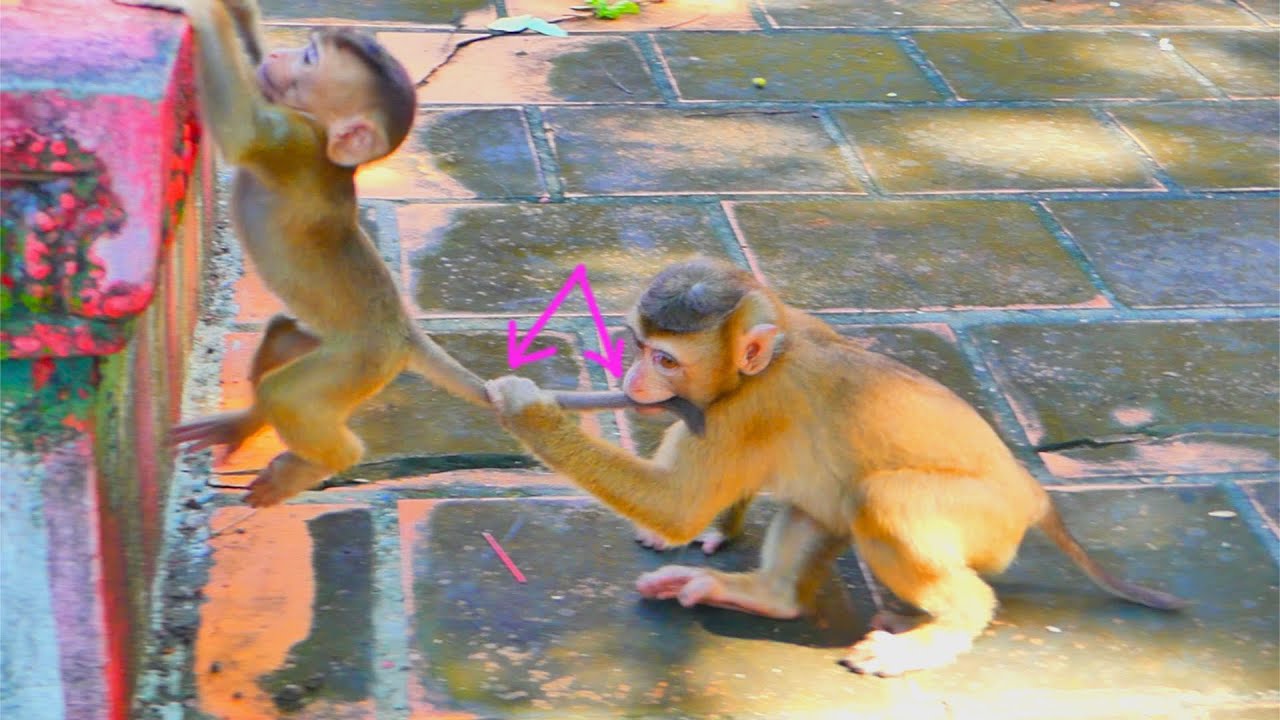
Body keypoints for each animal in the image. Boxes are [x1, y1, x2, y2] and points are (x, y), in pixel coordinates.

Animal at [118, 0, 700, 506]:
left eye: (310, 61)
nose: (283, 56)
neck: (322, 137)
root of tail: (401, 330)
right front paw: (239, 13)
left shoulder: (294, 144)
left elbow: (243, 131)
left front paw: (197, 9)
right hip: (334, 346)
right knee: (283, 336)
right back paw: (245, 422)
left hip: (360, 361)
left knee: (292, 394)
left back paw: (321, 462)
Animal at [486, 257, 1185, 677]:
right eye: (638, 348)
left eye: (664, 360)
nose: (631, 381)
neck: (767, 358)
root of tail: (1032, 493)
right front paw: (718, 526)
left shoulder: (749, 409)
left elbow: (678, 503)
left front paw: (527, 411)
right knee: (818, 501)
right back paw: (766, 596)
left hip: (985, 520)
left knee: (880, 500)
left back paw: (944, 630)